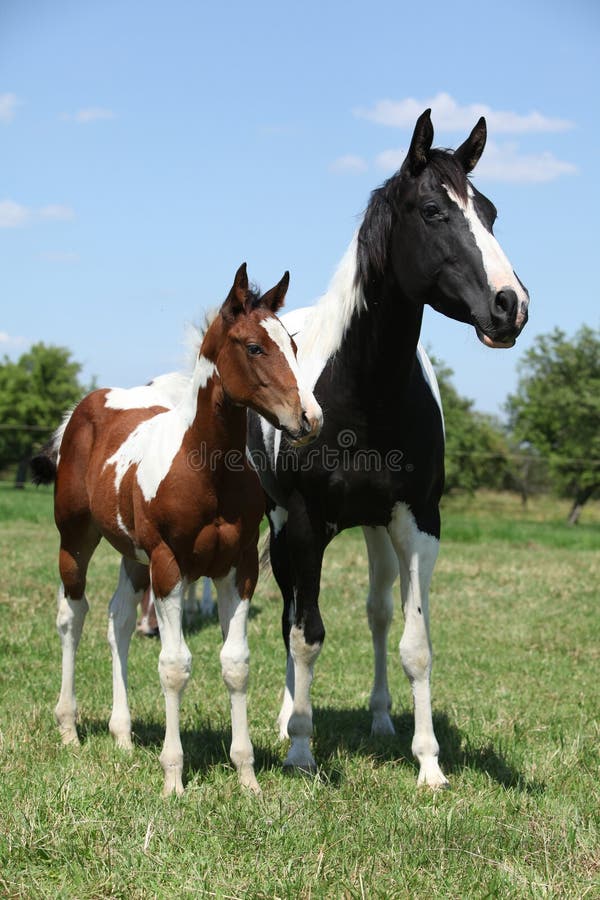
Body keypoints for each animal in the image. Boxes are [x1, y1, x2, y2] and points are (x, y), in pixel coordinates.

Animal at [31, 264, 323, 797]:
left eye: (292, 345)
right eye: (255, 347)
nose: (309, 418)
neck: (206, 468)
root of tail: (85, 406)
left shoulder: (238, 569)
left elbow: (235, 663)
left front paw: (247, 776)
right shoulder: (169, 566)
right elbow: (174, 665)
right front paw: (173, 777)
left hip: (132, 556)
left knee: (119, 619)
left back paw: (122, 735)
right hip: (75, 540)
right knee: (72, 615)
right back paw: (68, 728)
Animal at [246, 110, 530, 788]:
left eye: (490, 211)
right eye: (432, 210)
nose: (511, 305)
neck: (362, 390)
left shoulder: (416, 522)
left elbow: (414, 643)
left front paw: (428, 763)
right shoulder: (304, 522)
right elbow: (306, 634)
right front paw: (301, 749)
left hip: (375, 529)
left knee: (376, 612)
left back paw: (379, 719)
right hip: (280, 527)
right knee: (290, 613)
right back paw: (286, 718)